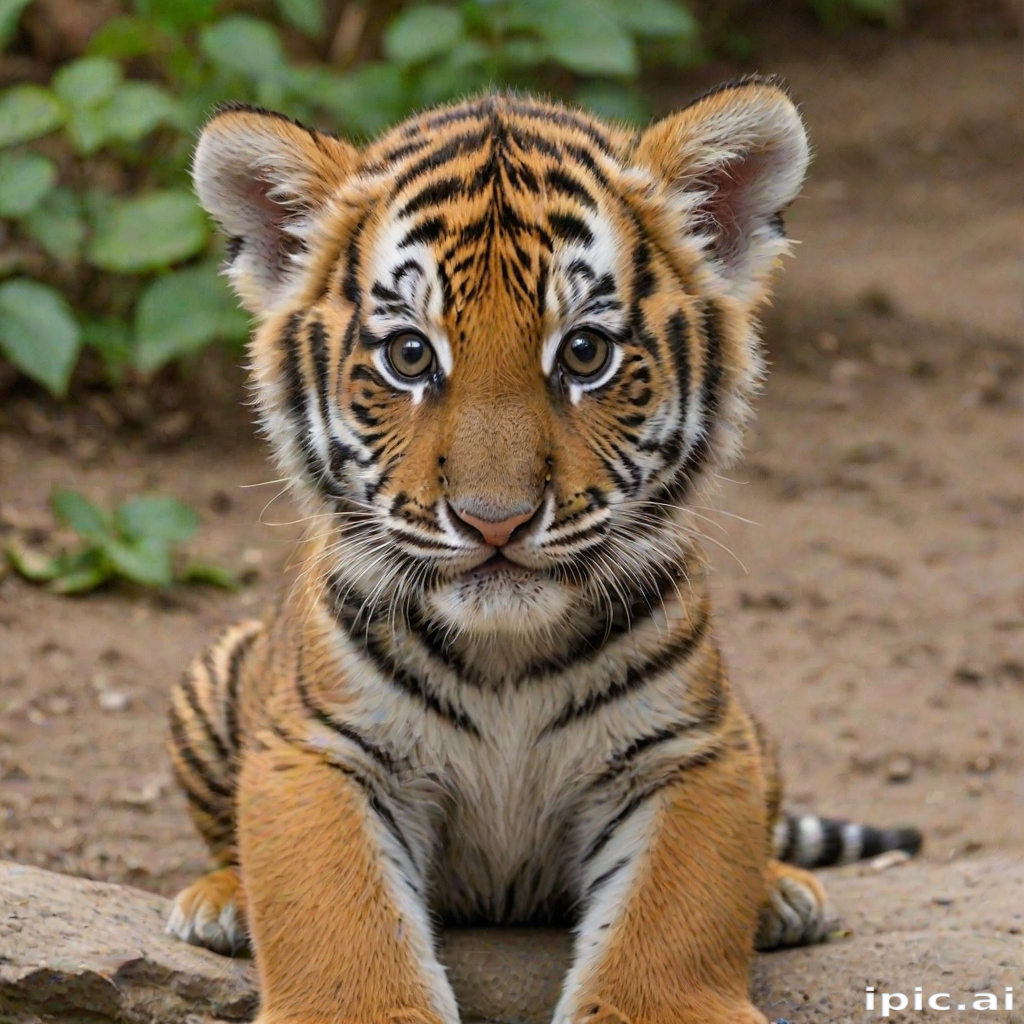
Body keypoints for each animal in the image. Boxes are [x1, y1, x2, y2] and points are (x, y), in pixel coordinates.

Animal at [166, 80, 921, 1024]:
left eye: (585, 353)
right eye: (410, 353)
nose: (495, 522)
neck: (506, 657)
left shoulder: (692, 751)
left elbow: (672, 923)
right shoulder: (317, 747)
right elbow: (340, 918)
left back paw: (784, 893)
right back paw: (220, 902)